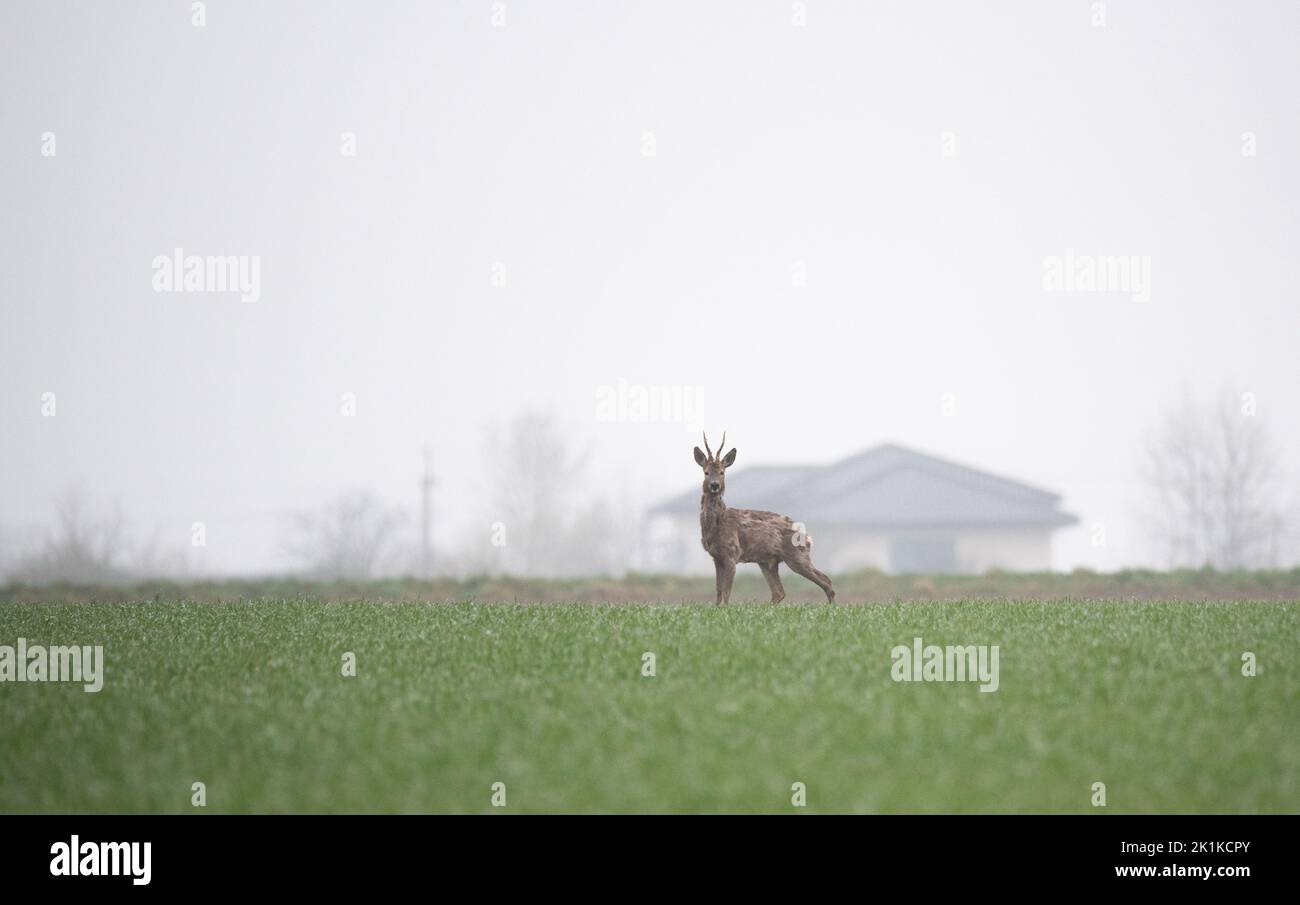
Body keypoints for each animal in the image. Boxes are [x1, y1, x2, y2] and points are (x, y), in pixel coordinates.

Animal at [694, 432, 836, 605]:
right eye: (706, 472)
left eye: (722, 472)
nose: (714, 485)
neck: (717, 525)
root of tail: (807, 536)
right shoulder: (716, 556)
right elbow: (718, 592)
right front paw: (717, 607)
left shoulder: (732, 552)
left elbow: (726, 592)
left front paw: (725, 608)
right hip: (767, 562)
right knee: (779, 592)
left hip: (797, 555)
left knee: (827, 581)